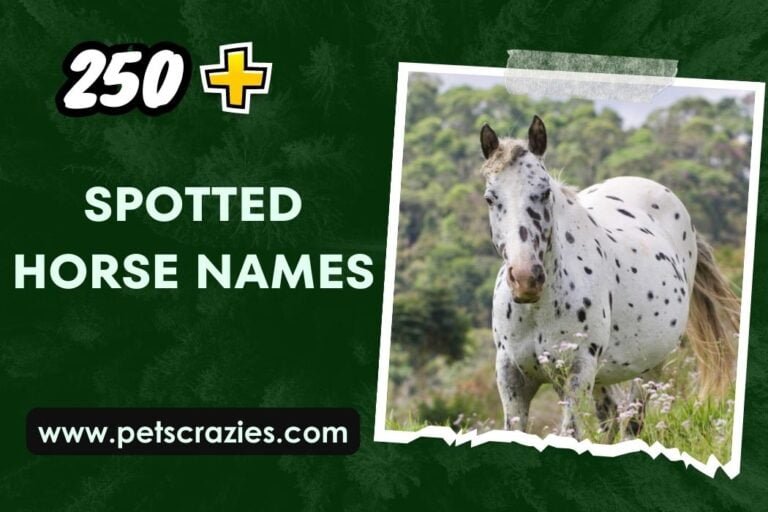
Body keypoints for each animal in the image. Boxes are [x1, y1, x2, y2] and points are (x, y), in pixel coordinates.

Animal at [481, 116, 740, 439]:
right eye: (490, 199)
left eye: (544, 192)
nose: (526, 279)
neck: (538, 310)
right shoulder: (513, 377)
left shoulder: (578, 371)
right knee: (612, 419)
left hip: (650, 366)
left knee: (632, 423)